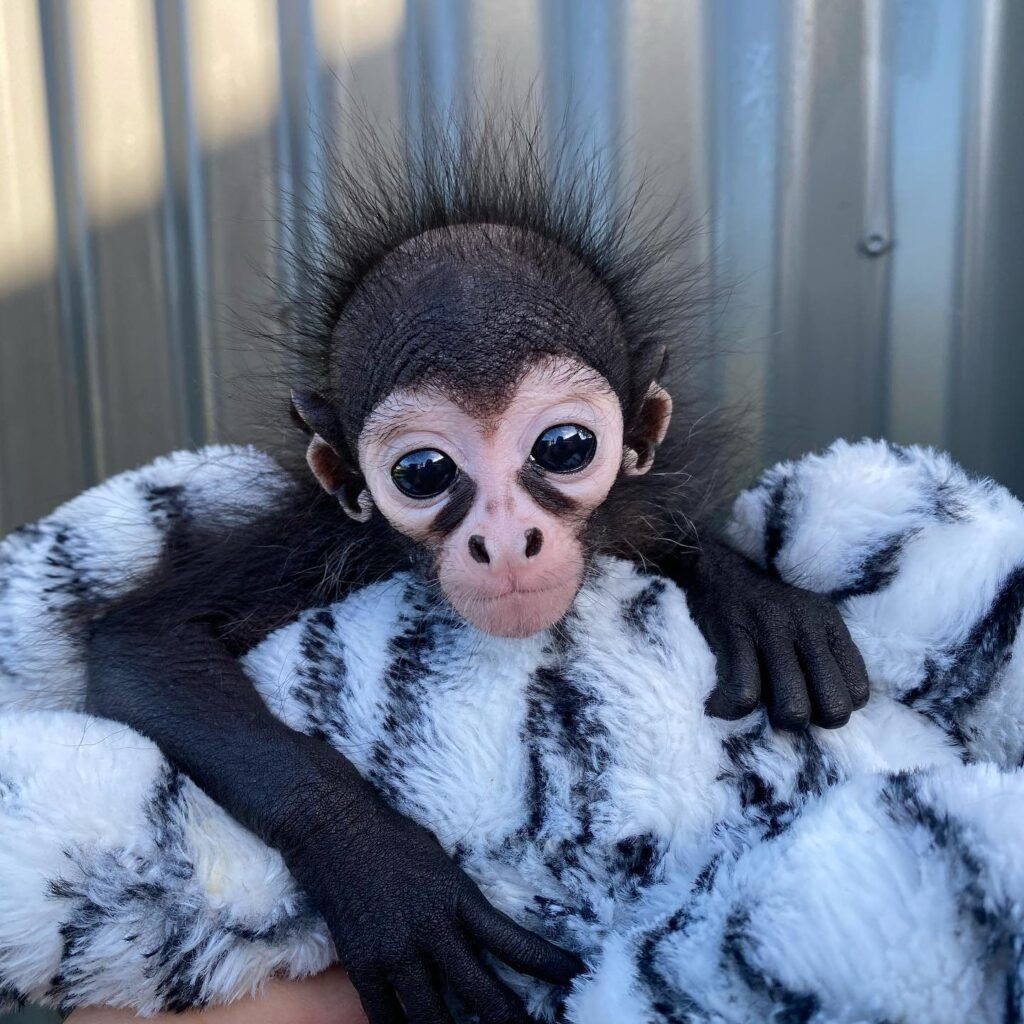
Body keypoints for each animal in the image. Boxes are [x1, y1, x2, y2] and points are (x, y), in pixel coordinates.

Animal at [78, 115, 869, 1024]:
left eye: (566, 447)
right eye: (423, 471)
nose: (506, 540)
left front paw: (758, 599)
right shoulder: (324, 536)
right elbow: (141, 645)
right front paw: (384, 875)